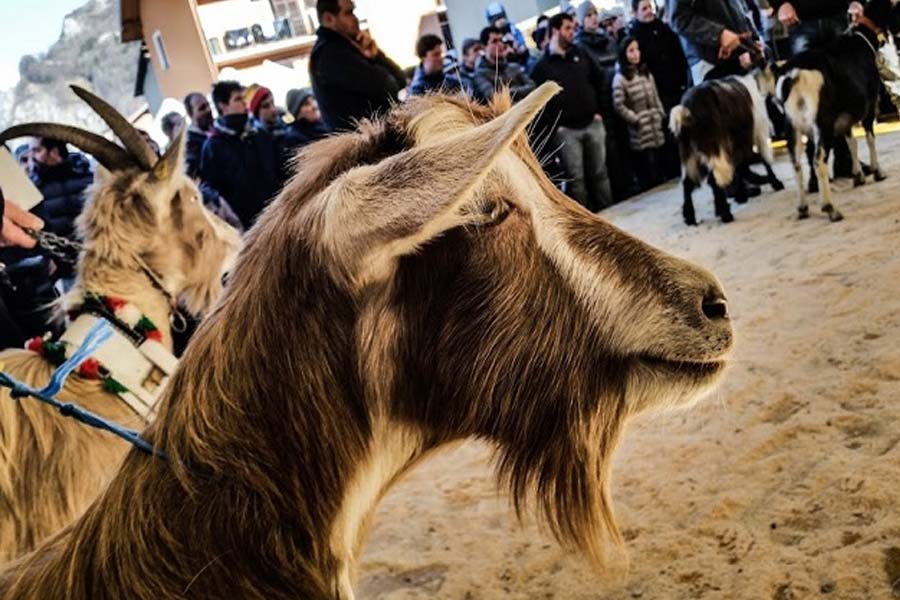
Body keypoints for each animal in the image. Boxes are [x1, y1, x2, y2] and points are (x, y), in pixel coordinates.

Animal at [670, 64, 784, 226]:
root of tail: (687, 110)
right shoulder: (756, 134)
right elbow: (763, 159)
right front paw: (775, 183)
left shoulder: (737, 143)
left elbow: (740, 167)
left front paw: (741, 195)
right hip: (714, 147)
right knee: (716, 178)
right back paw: (725, 214)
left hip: (691, 153)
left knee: (689, 182)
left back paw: (691, 216)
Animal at [777, 0, 900, 222]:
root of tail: (792, 75)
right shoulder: (869, 105)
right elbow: (869, 138)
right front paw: (877, 171)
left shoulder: (846, 114)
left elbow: (851, 141)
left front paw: (858, 175)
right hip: (821, 123)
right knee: (818, 160)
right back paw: (830, 208)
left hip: (791, 126)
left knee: (796, 163)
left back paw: (802, 208)